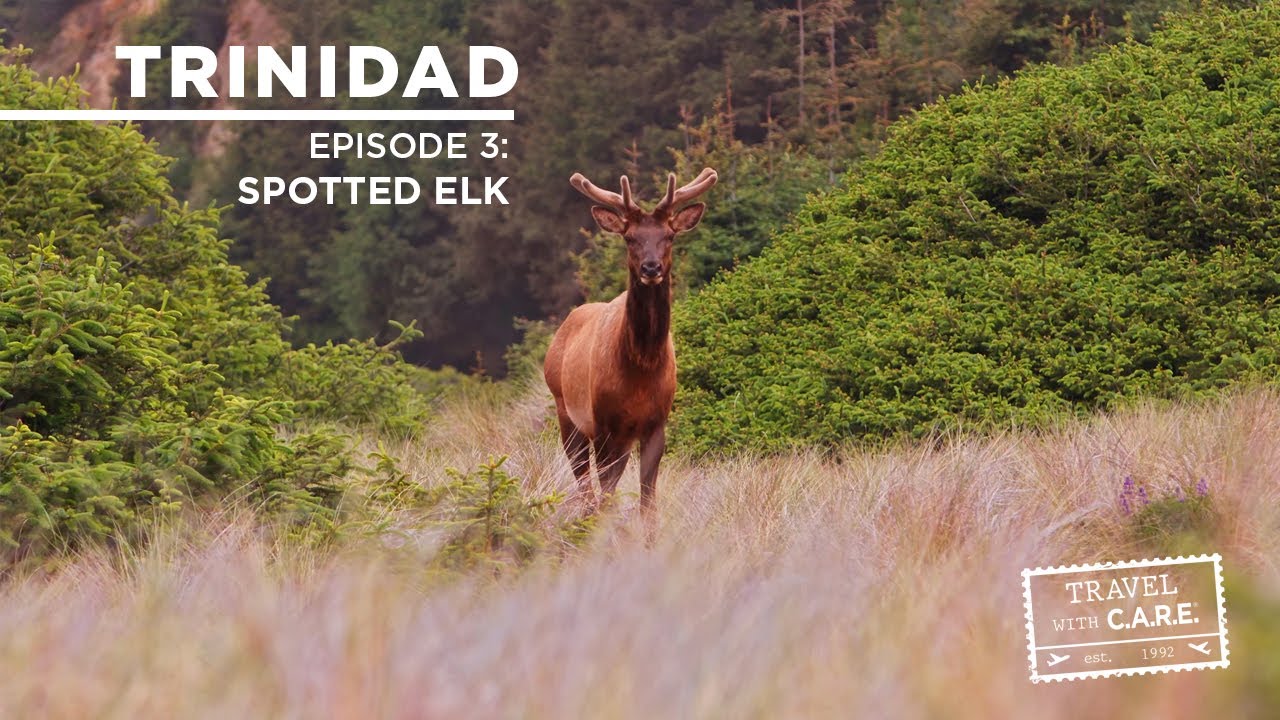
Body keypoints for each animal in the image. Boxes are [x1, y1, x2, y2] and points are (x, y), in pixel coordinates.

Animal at [544, 167, 718, 541]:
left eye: (669, 235)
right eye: (629, 238)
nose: (651, 268)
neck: (641, 370)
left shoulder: (656, 423)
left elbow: (648, 502)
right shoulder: (605, 424)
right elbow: (607, 496)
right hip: (566, 412)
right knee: (585, 486)